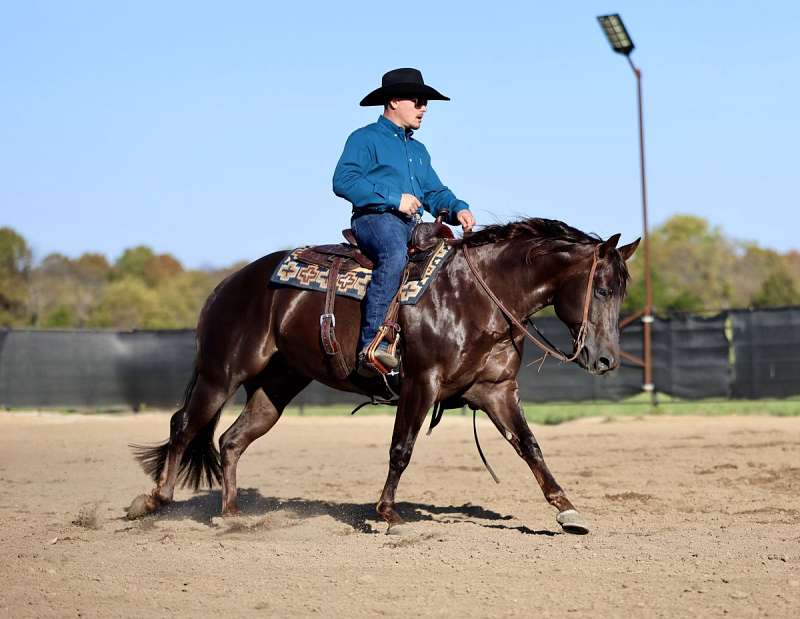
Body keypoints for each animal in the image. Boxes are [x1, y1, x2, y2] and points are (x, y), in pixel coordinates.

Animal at [127, 217, 638, 535]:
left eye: (621, 291)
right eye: (602, 289)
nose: (606, 360)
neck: (476, 297)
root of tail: (227, 284)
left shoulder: (496, 392)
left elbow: (530, 447)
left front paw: (568, 510)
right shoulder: (420, 383)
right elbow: (401, 448)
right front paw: (387, 514)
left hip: (277, 385)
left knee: (230, 440)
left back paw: (231, 514)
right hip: (222, 372)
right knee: (184, 426)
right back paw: (151, 502)